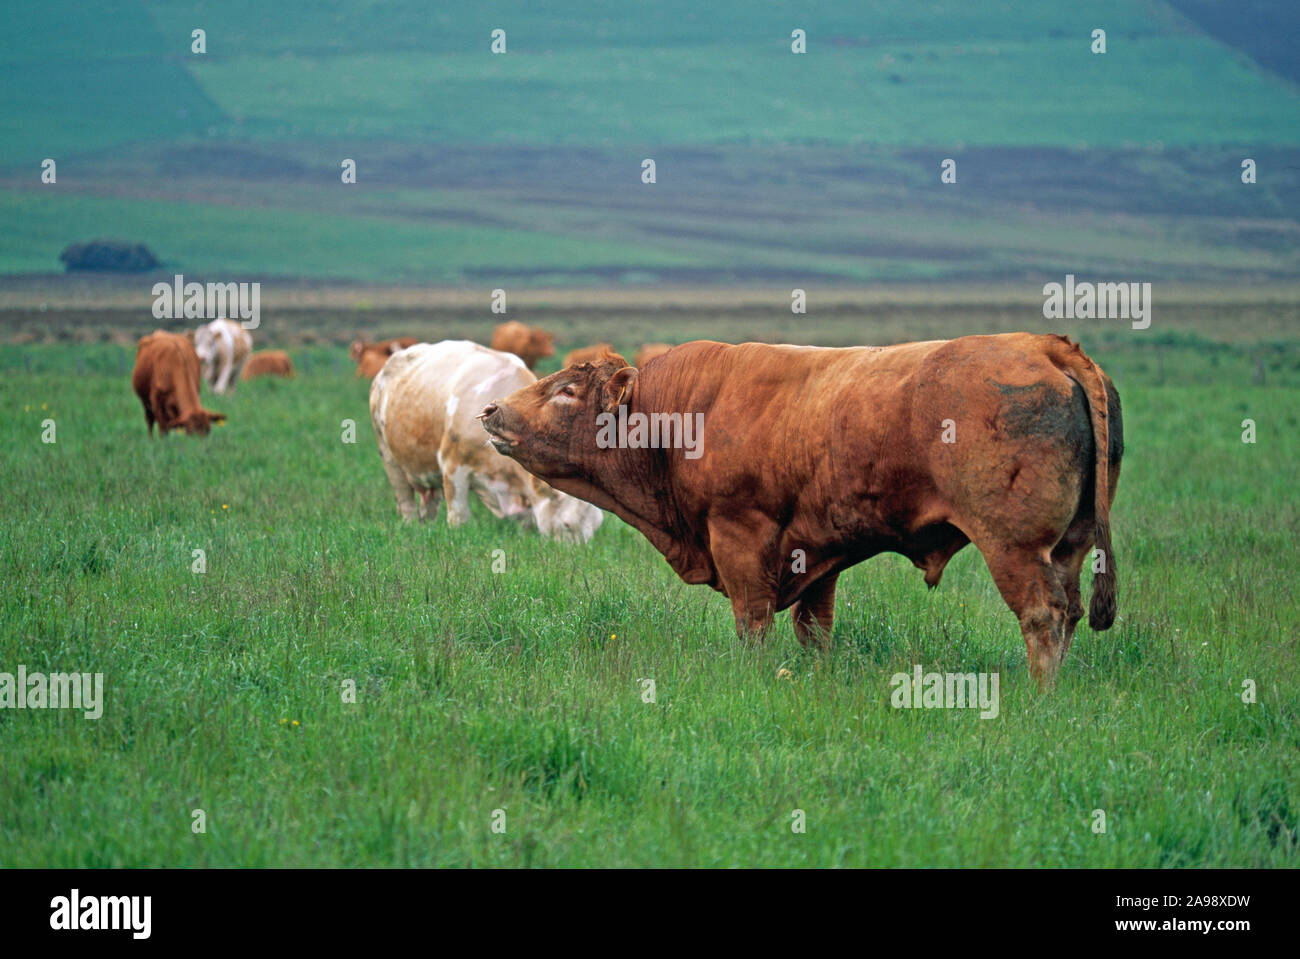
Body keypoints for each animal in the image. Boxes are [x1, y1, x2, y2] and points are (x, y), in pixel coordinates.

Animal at [371, 340, 603, 543]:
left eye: (595, 527)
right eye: (567, 525)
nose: (579, 552)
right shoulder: (453, 467)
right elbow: (459, 517)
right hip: (389, 458)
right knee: (406, 504)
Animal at [480, 334, 1123, 684]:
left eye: (566, 391)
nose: (491, 412)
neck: (684, 413)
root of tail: (1045, 346)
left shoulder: (740, 537)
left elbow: (753, 623)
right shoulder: (817, 556)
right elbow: (814, 631)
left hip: (1014, 547)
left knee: (1043, 615)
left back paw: (1038, 697)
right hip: (1070, 547)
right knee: (1068, 613)